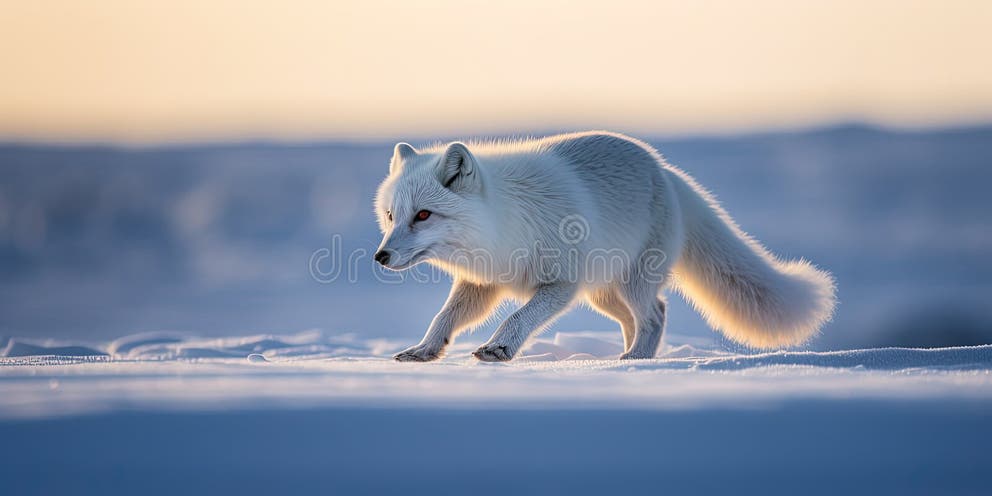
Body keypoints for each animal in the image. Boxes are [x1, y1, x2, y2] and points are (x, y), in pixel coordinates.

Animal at [374, 131, 835, 362]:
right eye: (393, 216)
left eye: (424, 215)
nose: (380, 256)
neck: (508, 222)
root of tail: (666, 170)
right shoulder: (482, 284)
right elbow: (444, 317)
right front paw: (425, 351)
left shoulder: (561, 285)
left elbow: (519, 318)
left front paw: (499, 349)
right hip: (602, 294)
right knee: (638, 319)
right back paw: (625, 356)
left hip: (628, 282)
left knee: (655, 314)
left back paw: (635, 360)